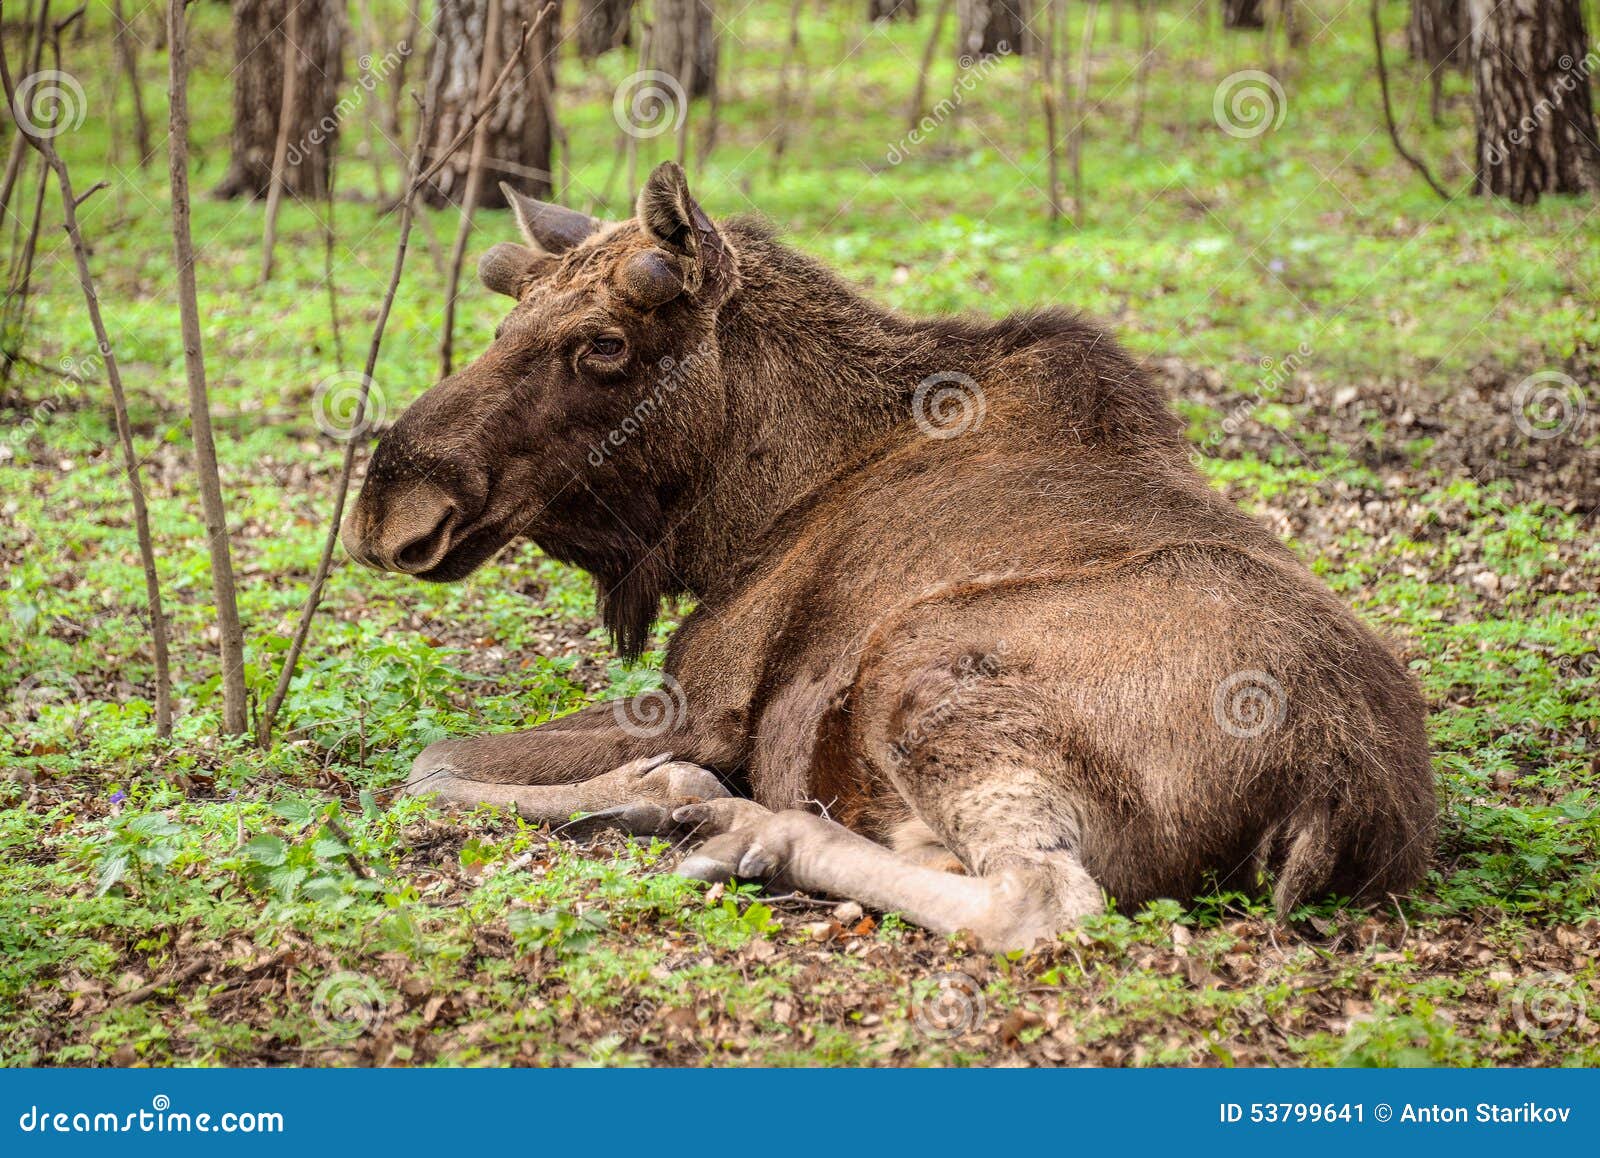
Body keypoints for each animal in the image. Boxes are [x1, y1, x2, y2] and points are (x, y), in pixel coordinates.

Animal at [342, 162, 1436, 951]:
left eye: (603, 343)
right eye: (504, 322)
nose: (390, 509)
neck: (747, 507)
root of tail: (1336, 795)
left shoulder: (704, 702)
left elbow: (430, 766)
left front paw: (671, 795)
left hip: (926, 663)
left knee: (1039, 900)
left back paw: (753, 830)